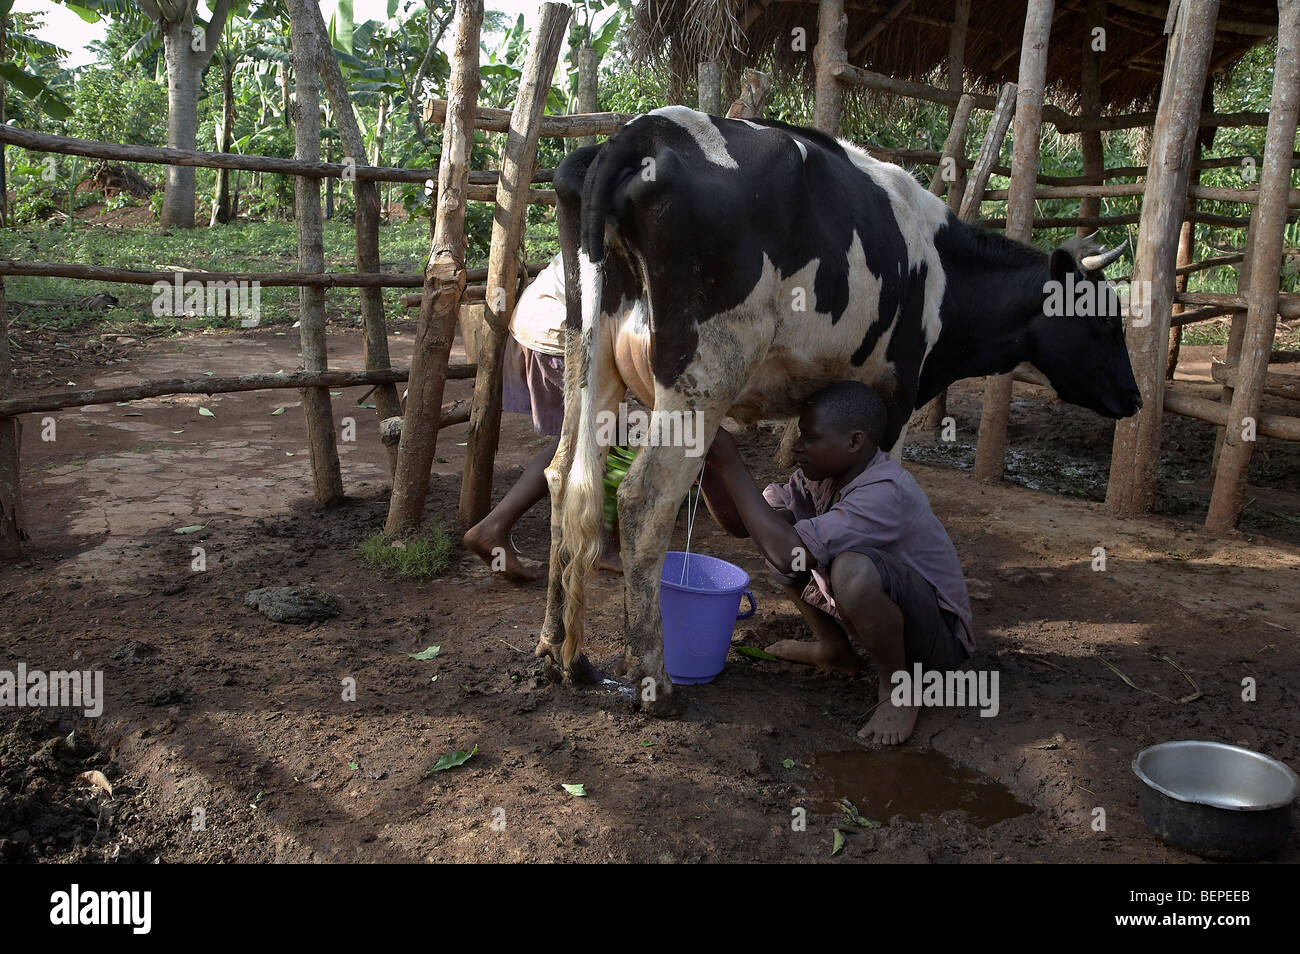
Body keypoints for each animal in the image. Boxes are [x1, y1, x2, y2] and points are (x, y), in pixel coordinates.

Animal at [533, 106, 1140, 709]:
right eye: (1105, 318)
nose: (1133, 398)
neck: (946, 276)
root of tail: (645, 129)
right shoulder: (896, 394)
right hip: (704, 372)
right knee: (643, 500)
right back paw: (651, 680)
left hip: (591, 355)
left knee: (564, 477)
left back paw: (561, 655)